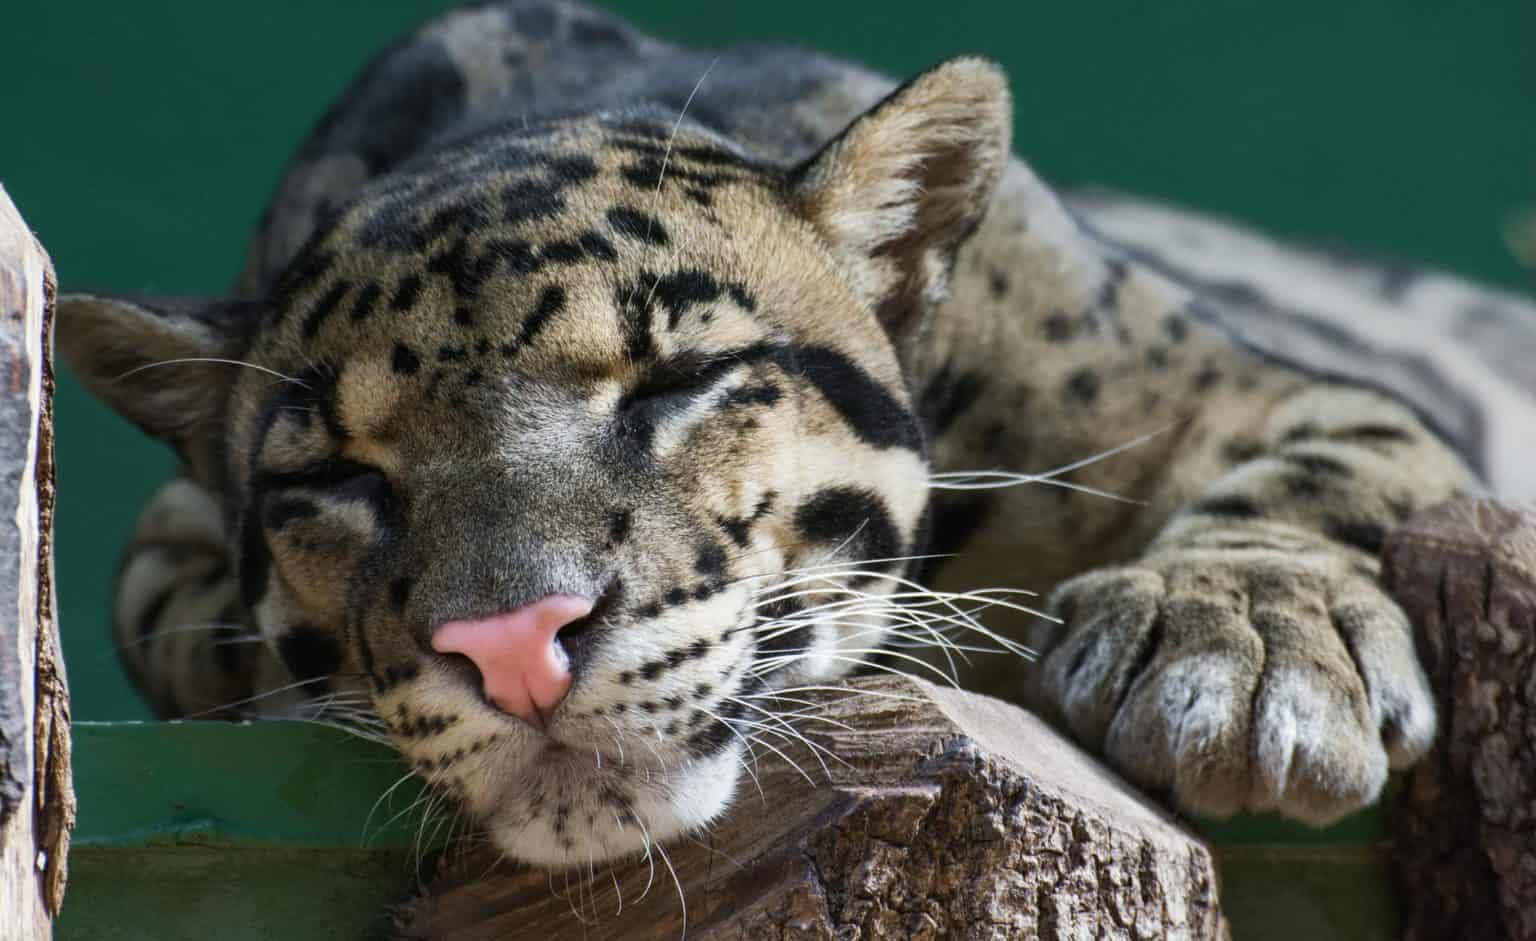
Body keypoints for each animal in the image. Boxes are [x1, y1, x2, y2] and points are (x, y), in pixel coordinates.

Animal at [58, 0, 1536, 868]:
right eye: (336, 477)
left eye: (675, 381)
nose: (512, 645)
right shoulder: (170, 536)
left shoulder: (1240, 377)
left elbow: (1333, 464)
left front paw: (1244, 652)